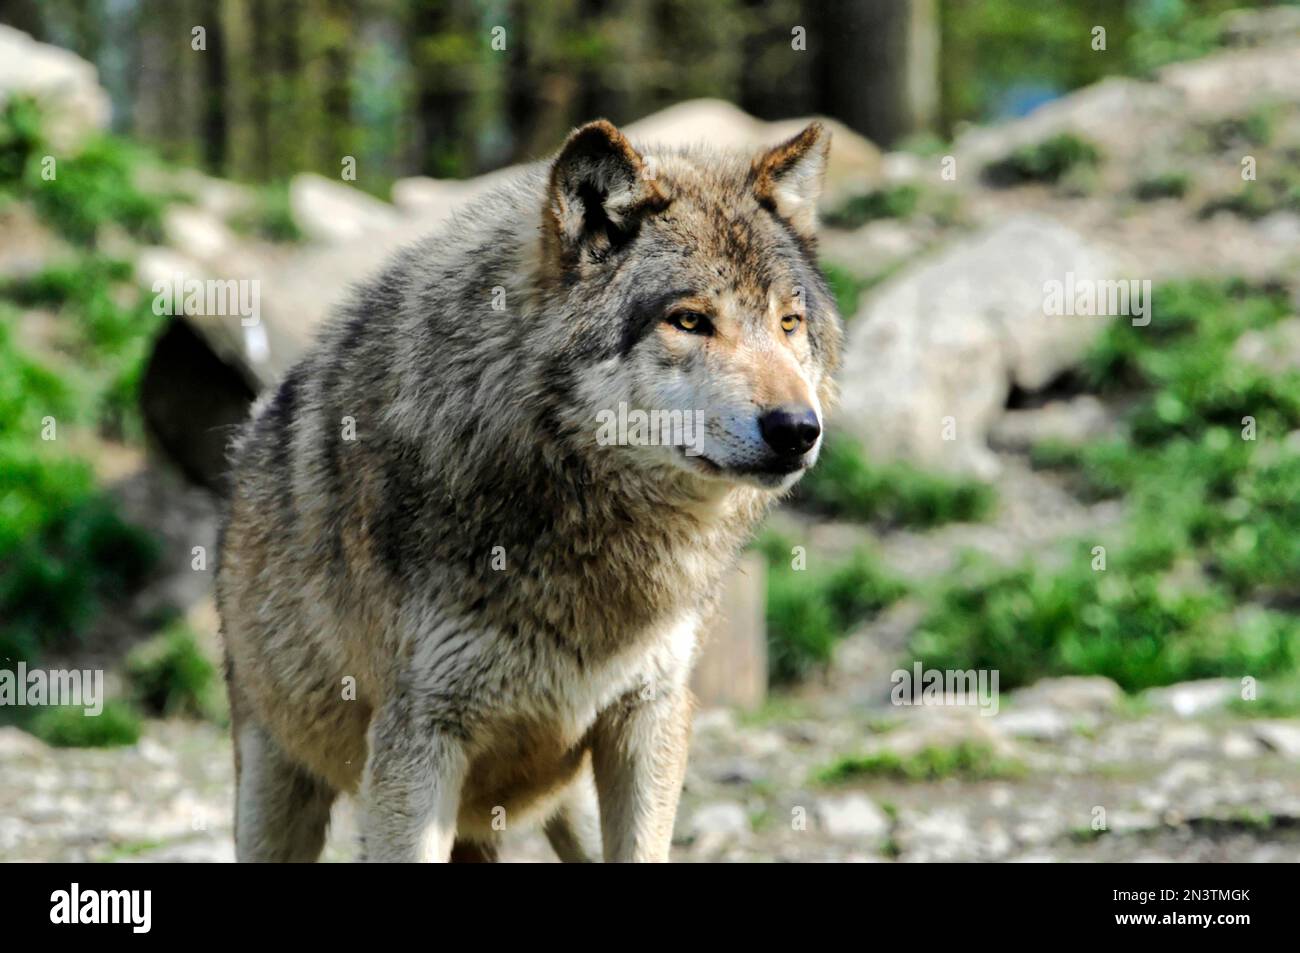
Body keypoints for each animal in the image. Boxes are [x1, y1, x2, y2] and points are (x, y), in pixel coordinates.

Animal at [216, 118, 842, 862]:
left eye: (788, 323)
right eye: (689, 320)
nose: (798, 428)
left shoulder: (649, 717)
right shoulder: (415, 743)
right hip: (276, 789)